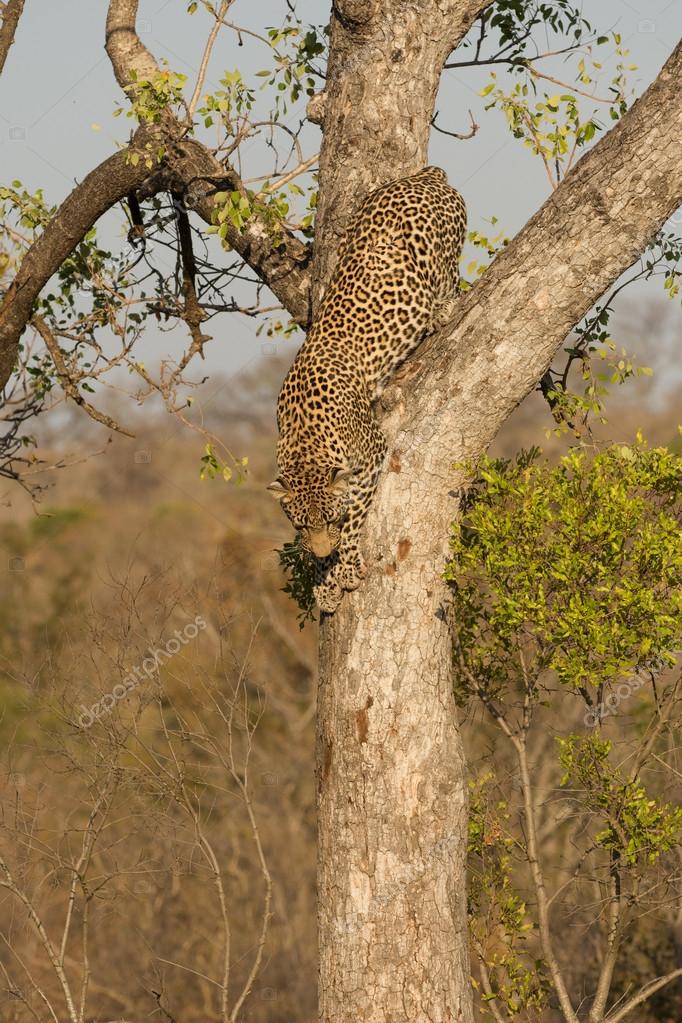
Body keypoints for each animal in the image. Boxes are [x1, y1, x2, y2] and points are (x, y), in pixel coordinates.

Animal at [268, 166, 467, 613]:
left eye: (330, 519)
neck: (304, 436)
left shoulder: (373, 452)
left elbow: (356, 513)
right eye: (301, 525)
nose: (323, 552)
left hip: (434, 252)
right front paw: (325, 578)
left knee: (452, 281)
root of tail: (425, 176)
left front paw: (343, 566)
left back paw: (442, 311)